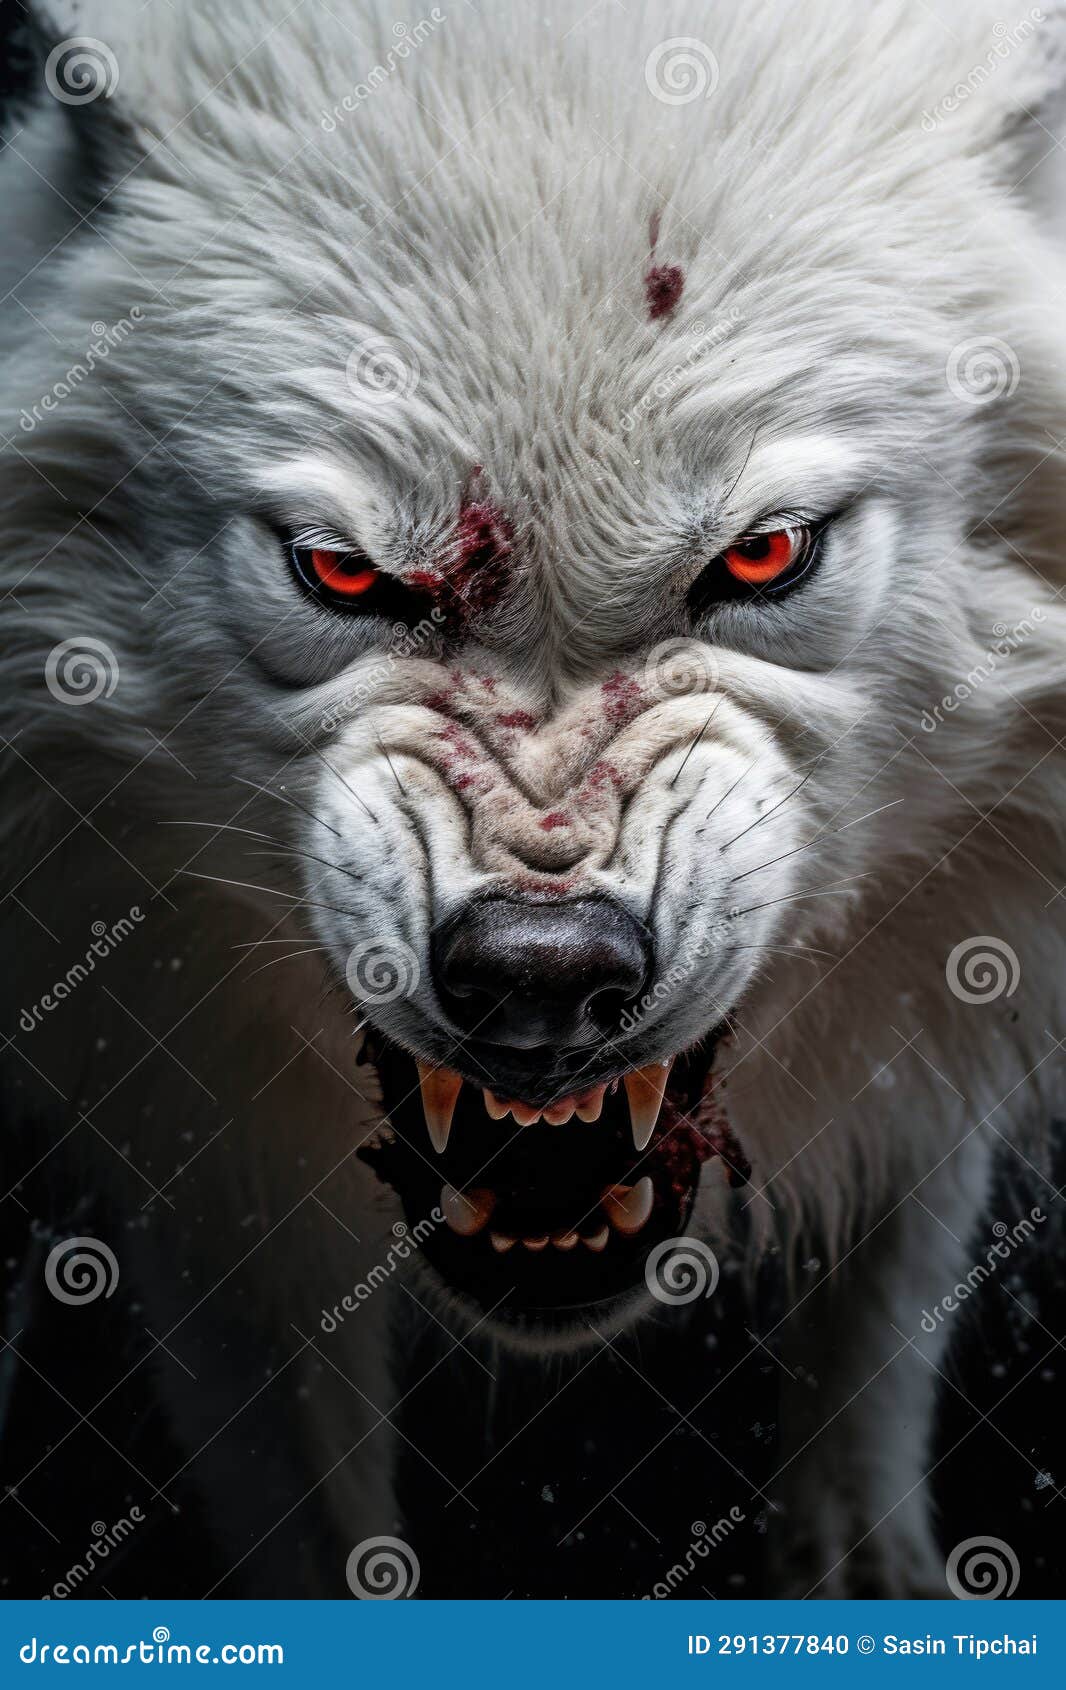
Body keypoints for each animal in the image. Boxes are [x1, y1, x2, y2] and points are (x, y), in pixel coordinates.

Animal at [1, 0, 1064, 1597]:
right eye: (342, 573)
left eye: (764, 556)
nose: (541, 971)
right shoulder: (193, 1142)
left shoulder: (953, 1015)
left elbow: (873, 1357)